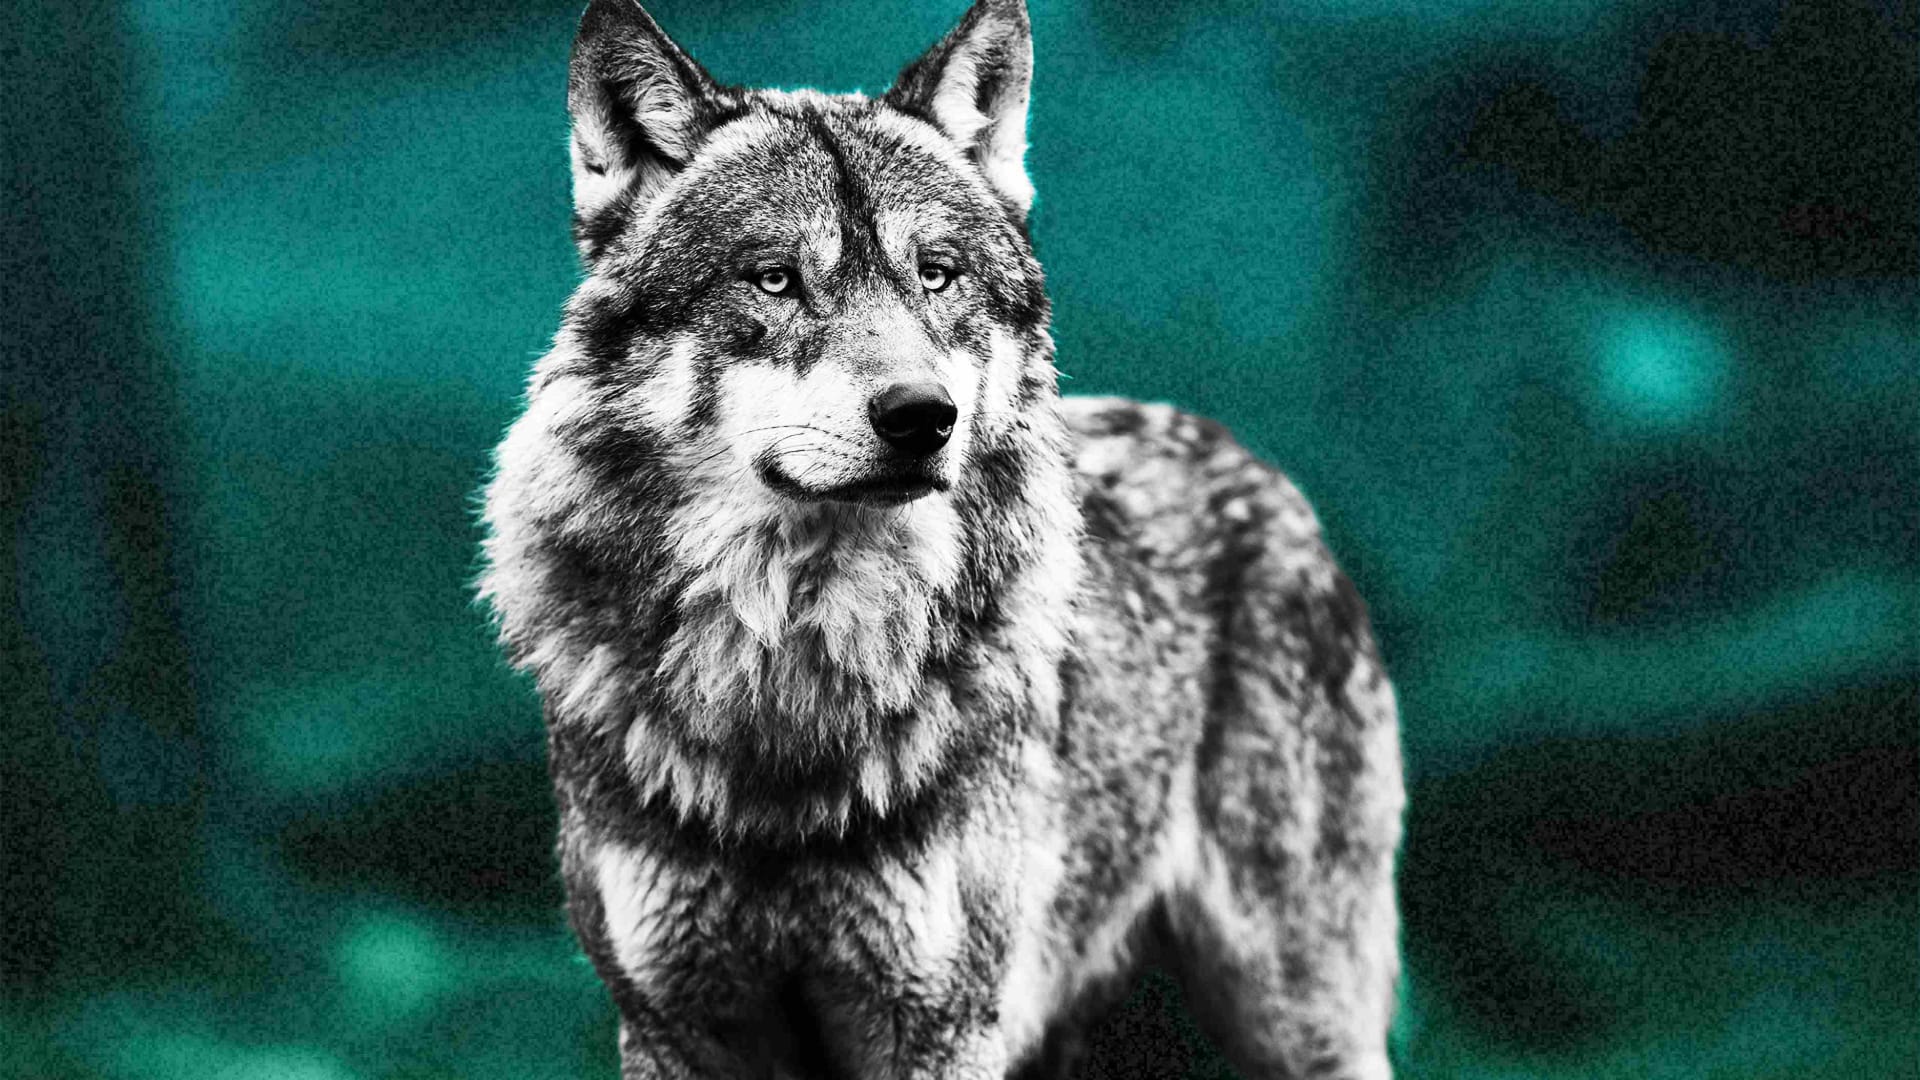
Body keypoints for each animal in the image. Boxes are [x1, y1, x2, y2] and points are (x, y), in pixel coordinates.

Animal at [478, 1, 1404, 1076]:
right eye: (775, 279)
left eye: (937, 275)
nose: (923, 416)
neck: (790, 694)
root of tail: (1256, 465)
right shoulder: (675, 1028)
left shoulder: (942, 1021)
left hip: (1292, 1017)